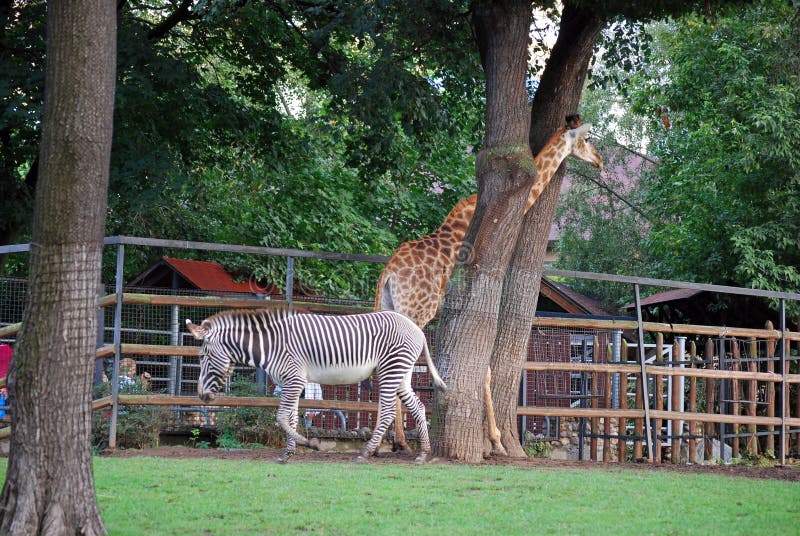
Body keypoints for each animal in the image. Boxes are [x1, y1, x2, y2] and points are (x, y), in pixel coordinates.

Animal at [185, 308, 446, 464]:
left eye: (202, 357)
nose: (200, 396)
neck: (272, 345)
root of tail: (416, 328)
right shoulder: (290, 382)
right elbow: (290, 418)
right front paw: (287, 453)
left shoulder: (294, 379)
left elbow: (281, 417)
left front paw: (310, 444)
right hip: (402, 373)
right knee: (418, 407)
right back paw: (423, 454)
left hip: (390, 369)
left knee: (389, 411)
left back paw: (365, 453)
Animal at [375, 115, 603, 456]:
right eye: (587, 140)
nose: (600, 161)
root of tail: (388, 273)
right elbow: (485, 368)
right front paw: (496, 441)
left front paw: (491, 441)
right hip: (416, 310)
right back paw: (399, 440)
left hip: (393, 307)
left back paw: (386, 441)